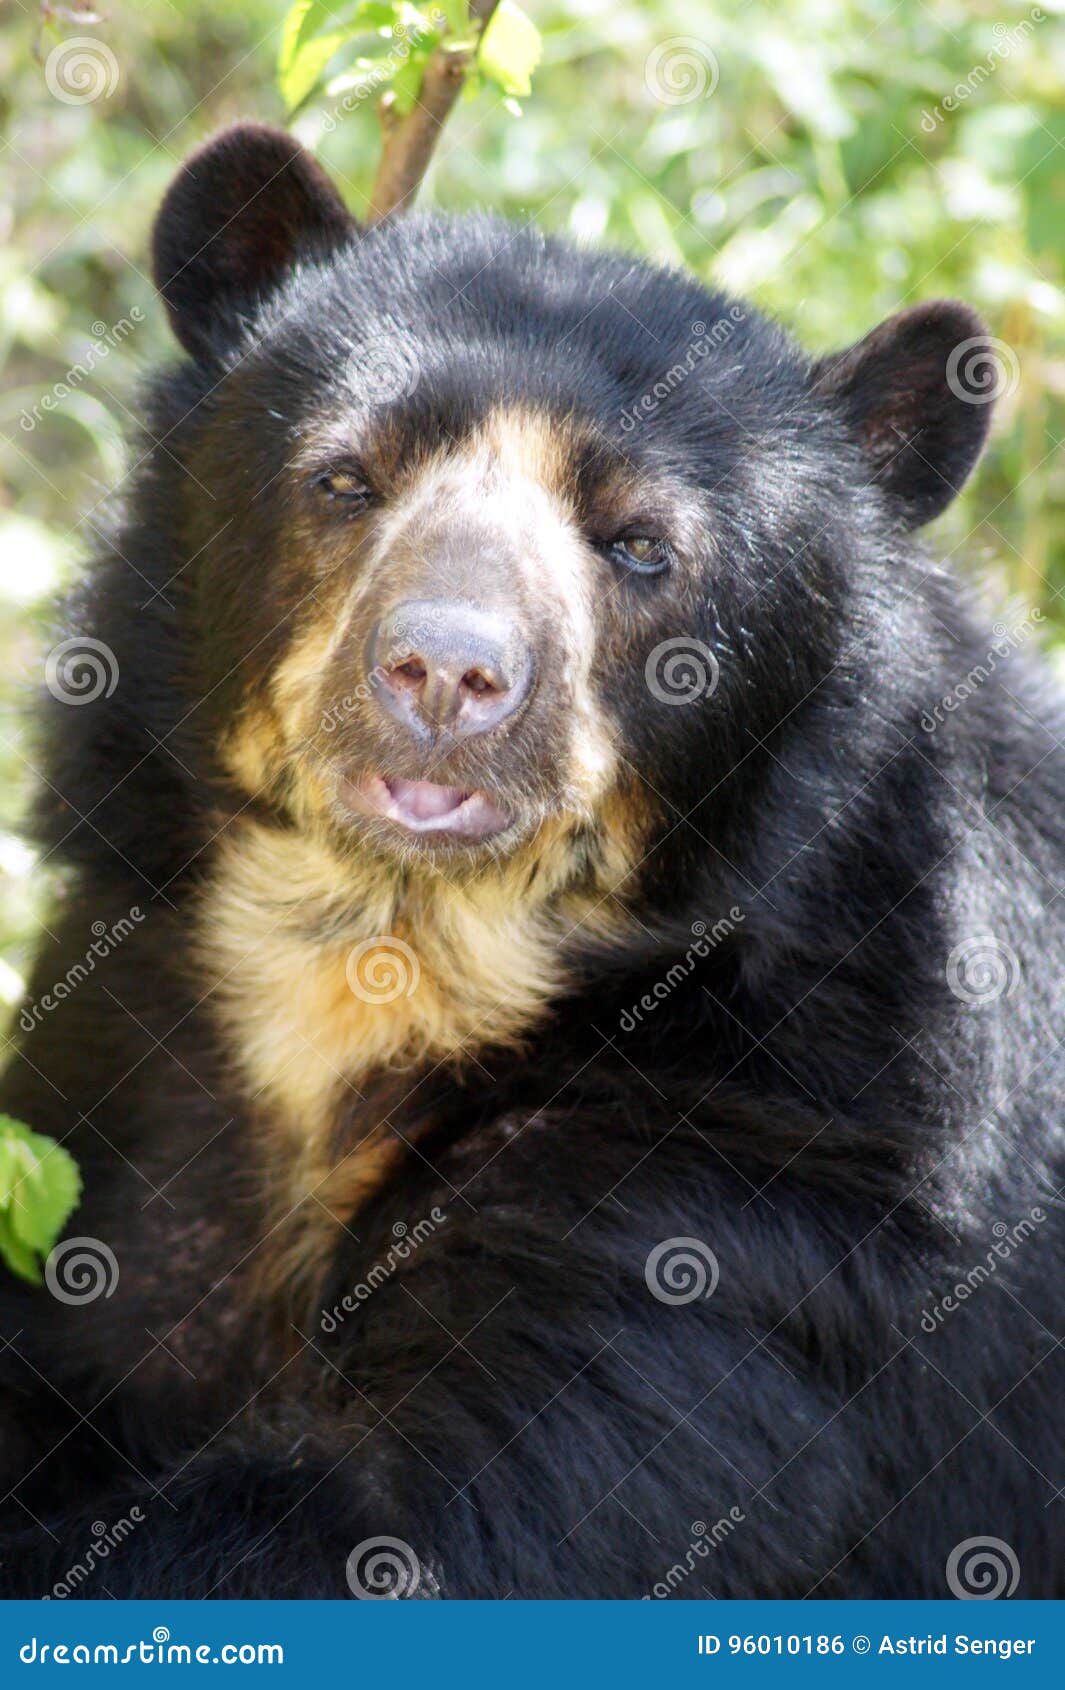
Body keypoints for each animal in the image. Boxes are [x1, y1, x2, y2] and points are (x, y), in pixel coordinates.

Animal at [0, 121, 1063, 1600]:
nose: (445, 671)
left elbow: (403, 1527)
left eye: (642, 546)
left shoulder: (774, 1181)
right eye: (345, 478)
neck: (393, 951)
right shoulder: (153, 1049)